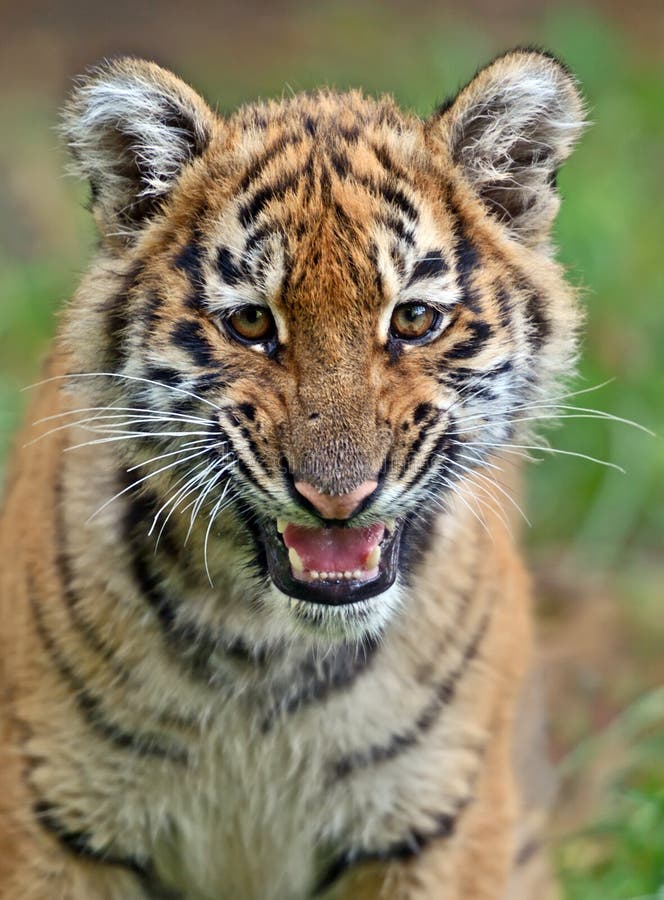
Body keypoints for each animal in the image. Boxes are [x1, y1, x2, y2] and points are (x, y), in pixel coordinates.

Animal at [0, 48, 586, 899]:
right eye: (251, 322)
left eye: (414, 319)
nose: (337, 497)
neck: (270, 654)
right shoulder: (56, 814)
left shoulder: (438, 821)